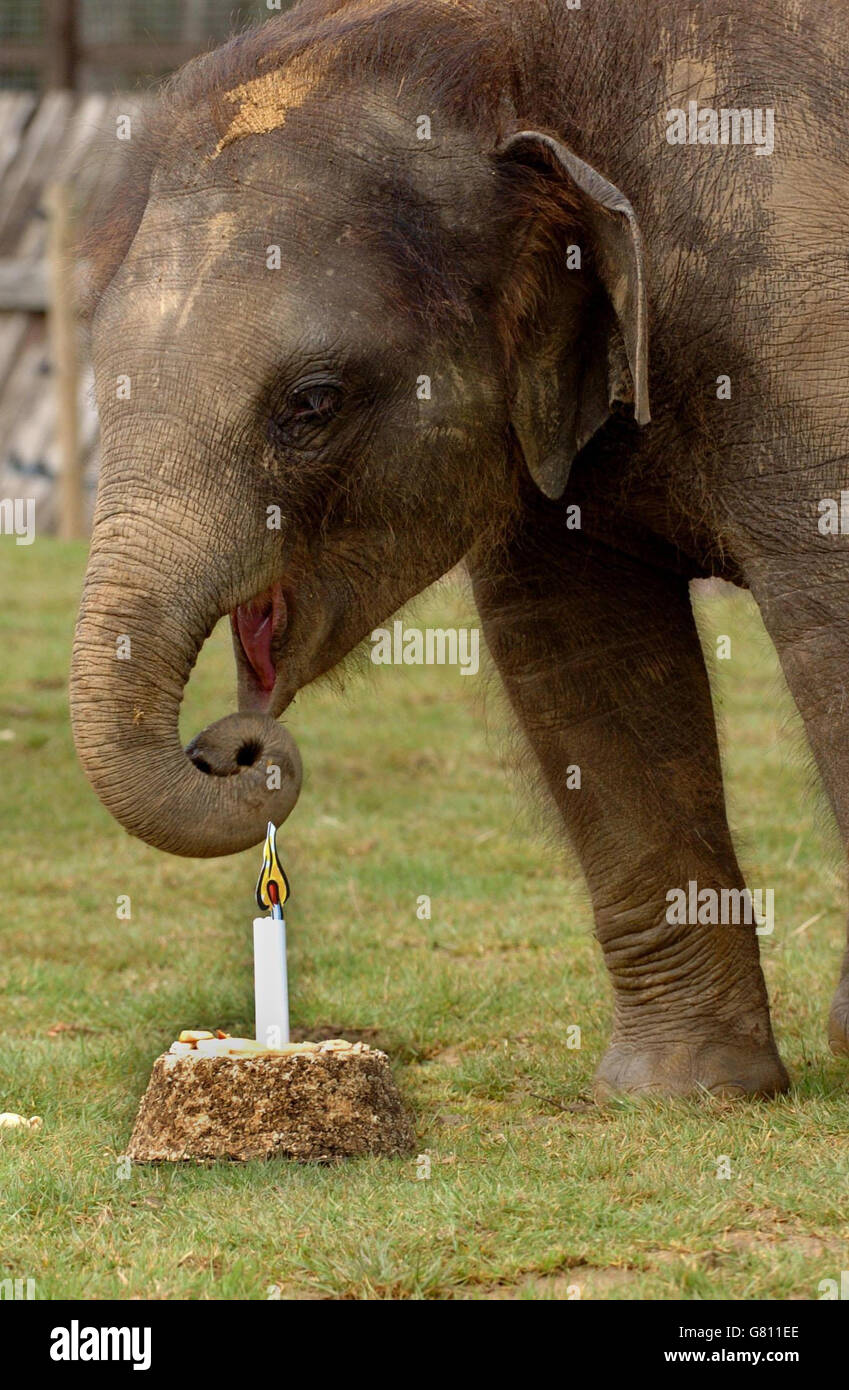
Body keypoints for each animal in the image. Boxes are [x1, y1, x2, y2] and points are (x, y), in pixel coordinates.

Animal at [71, 0, 849, 1099]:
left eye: (312, 402)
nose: (235, 748)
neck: (518, 49)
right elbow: (583, 661)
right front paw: (680, 1095)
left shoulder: (799, 320)